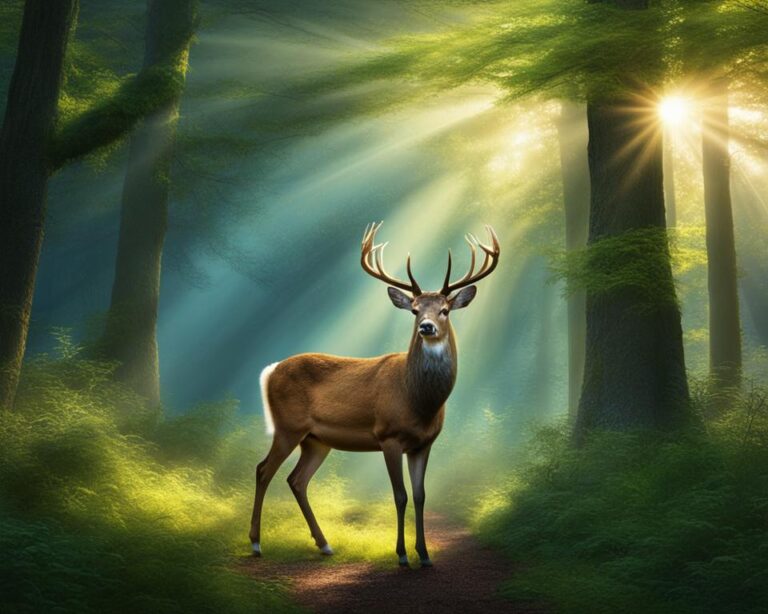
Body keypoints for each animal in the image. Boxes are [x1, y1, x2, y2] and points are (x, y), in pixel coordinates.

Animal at [249, 221, 500, 567]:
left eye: (445, 310)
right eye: (414, 310)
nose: (426, 327)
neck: (418, 402)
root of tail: (270, 370)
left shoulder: (424, 444)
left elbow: (421, 496)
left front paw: (425, 555)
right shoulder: (388, 436)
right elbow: (400, 495)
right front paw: (402, 555)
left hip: (316, 440)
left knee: (296, 480)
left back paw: (325, 544)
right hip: (288, 427)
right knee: (263, 470)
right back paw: (256, 543)